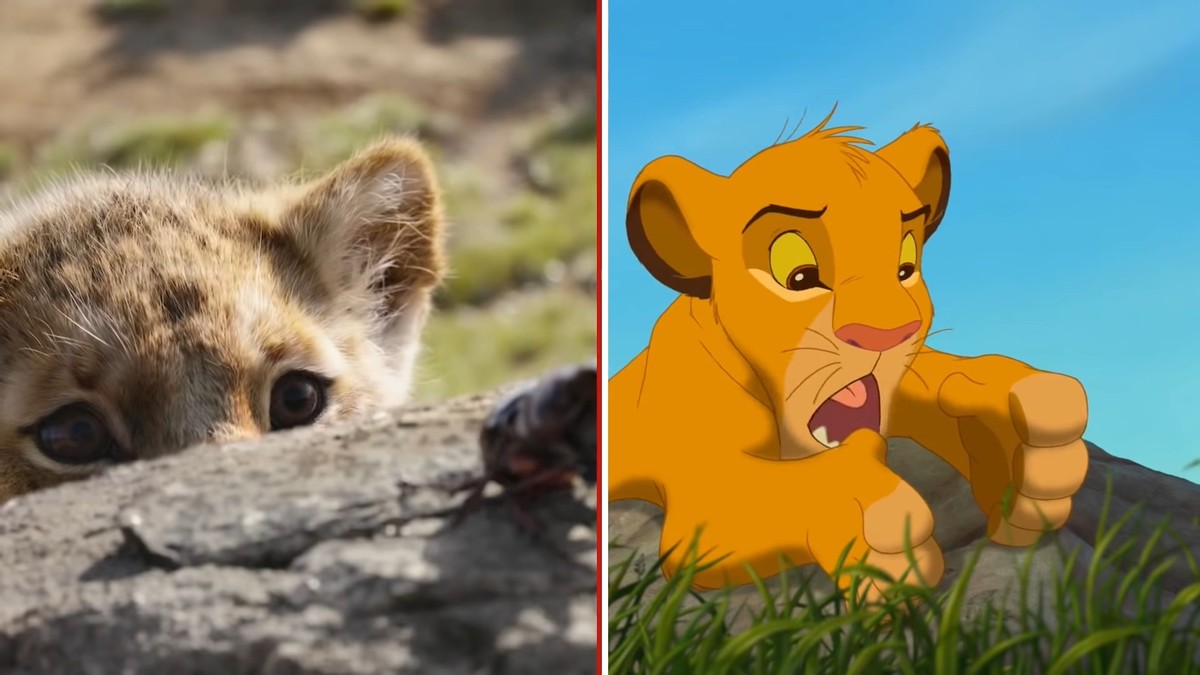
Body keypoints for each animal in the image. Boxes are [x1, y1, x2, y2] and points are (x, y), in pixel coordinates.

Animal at [608, 112, 1090, 601]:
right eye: (798, 275)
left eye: (905, 266)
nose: (887, 333)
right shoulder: (698, 488)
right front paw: (870, 522)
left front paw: (1013, 444)